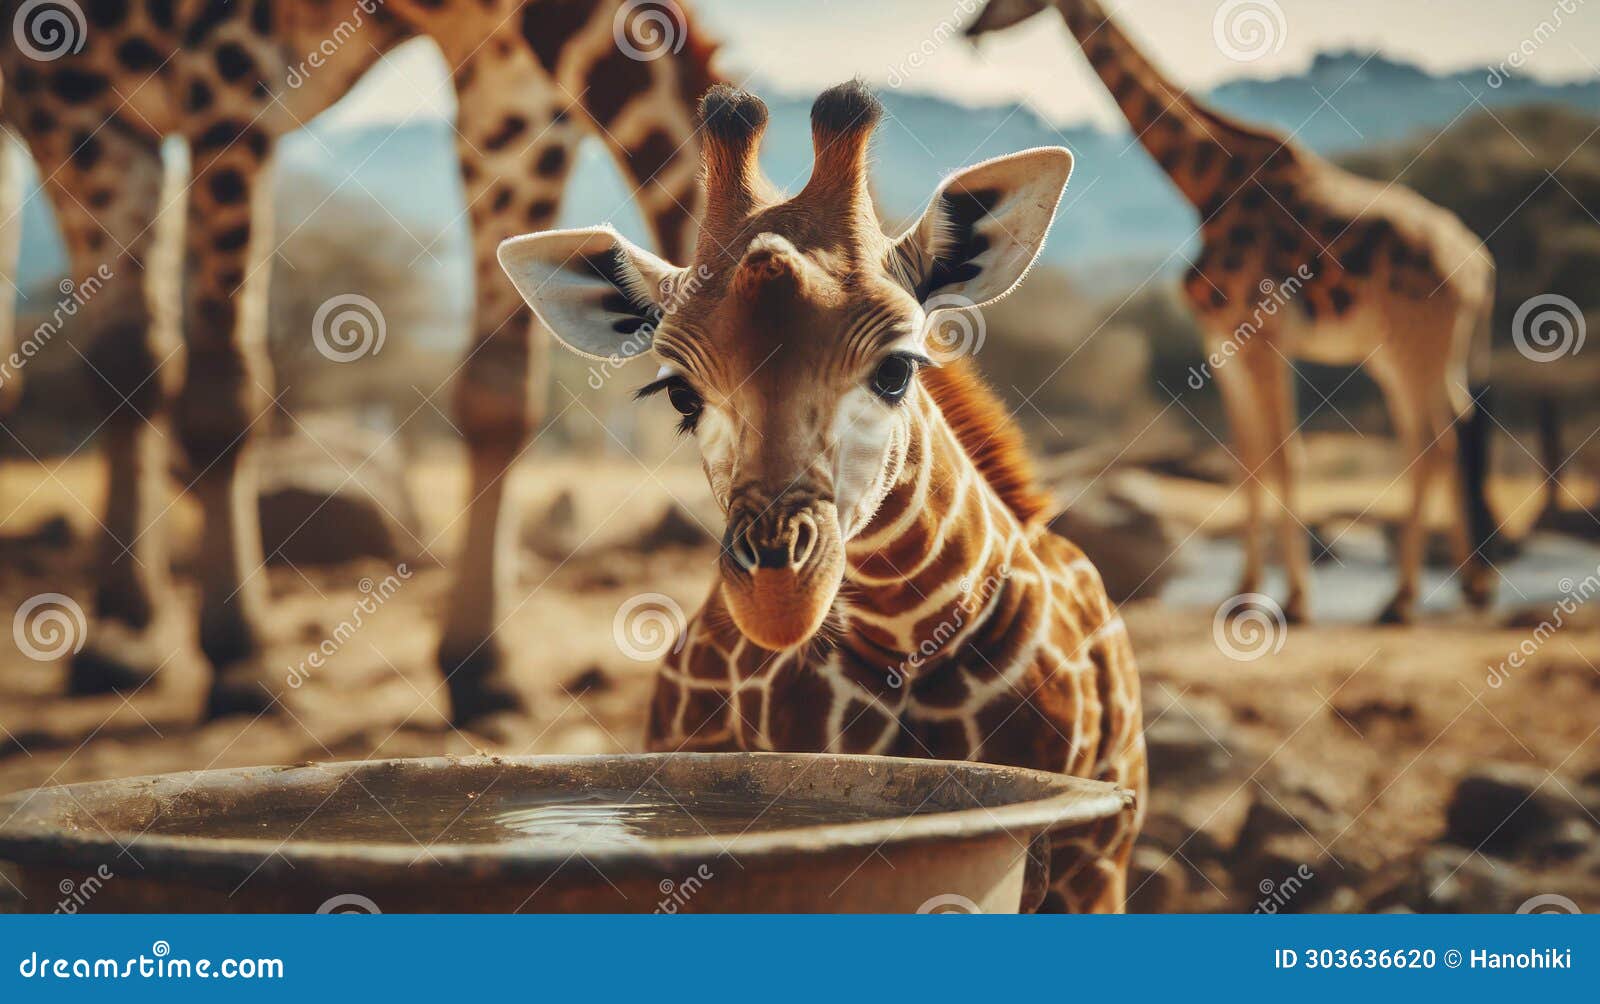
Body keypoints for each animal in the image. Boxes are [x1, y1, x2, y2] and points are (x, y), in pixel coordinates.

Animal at [0, 0, 719, 722]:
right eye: (685, 402)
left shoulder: (513, 88)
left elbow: (500, 396)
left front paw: (482, 666)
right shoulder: (158, 79)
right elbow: (202, 387)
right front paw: (236, 658)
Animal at [966, 0, 1497, 625]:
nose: (969, 30)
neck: (1203, 181)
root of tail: (1477, 264)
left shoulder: (1261, 331)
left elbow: (1284, 455)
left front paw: (1294, 600)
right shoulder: (1219, 337)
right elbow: (1247, 457)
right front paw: (1243, 590)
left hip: (1415, 343)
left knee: (1436, 441)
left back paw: (1402, 599)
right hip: (1407, 351)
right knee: (1452, 428)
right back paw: (1469, 589)